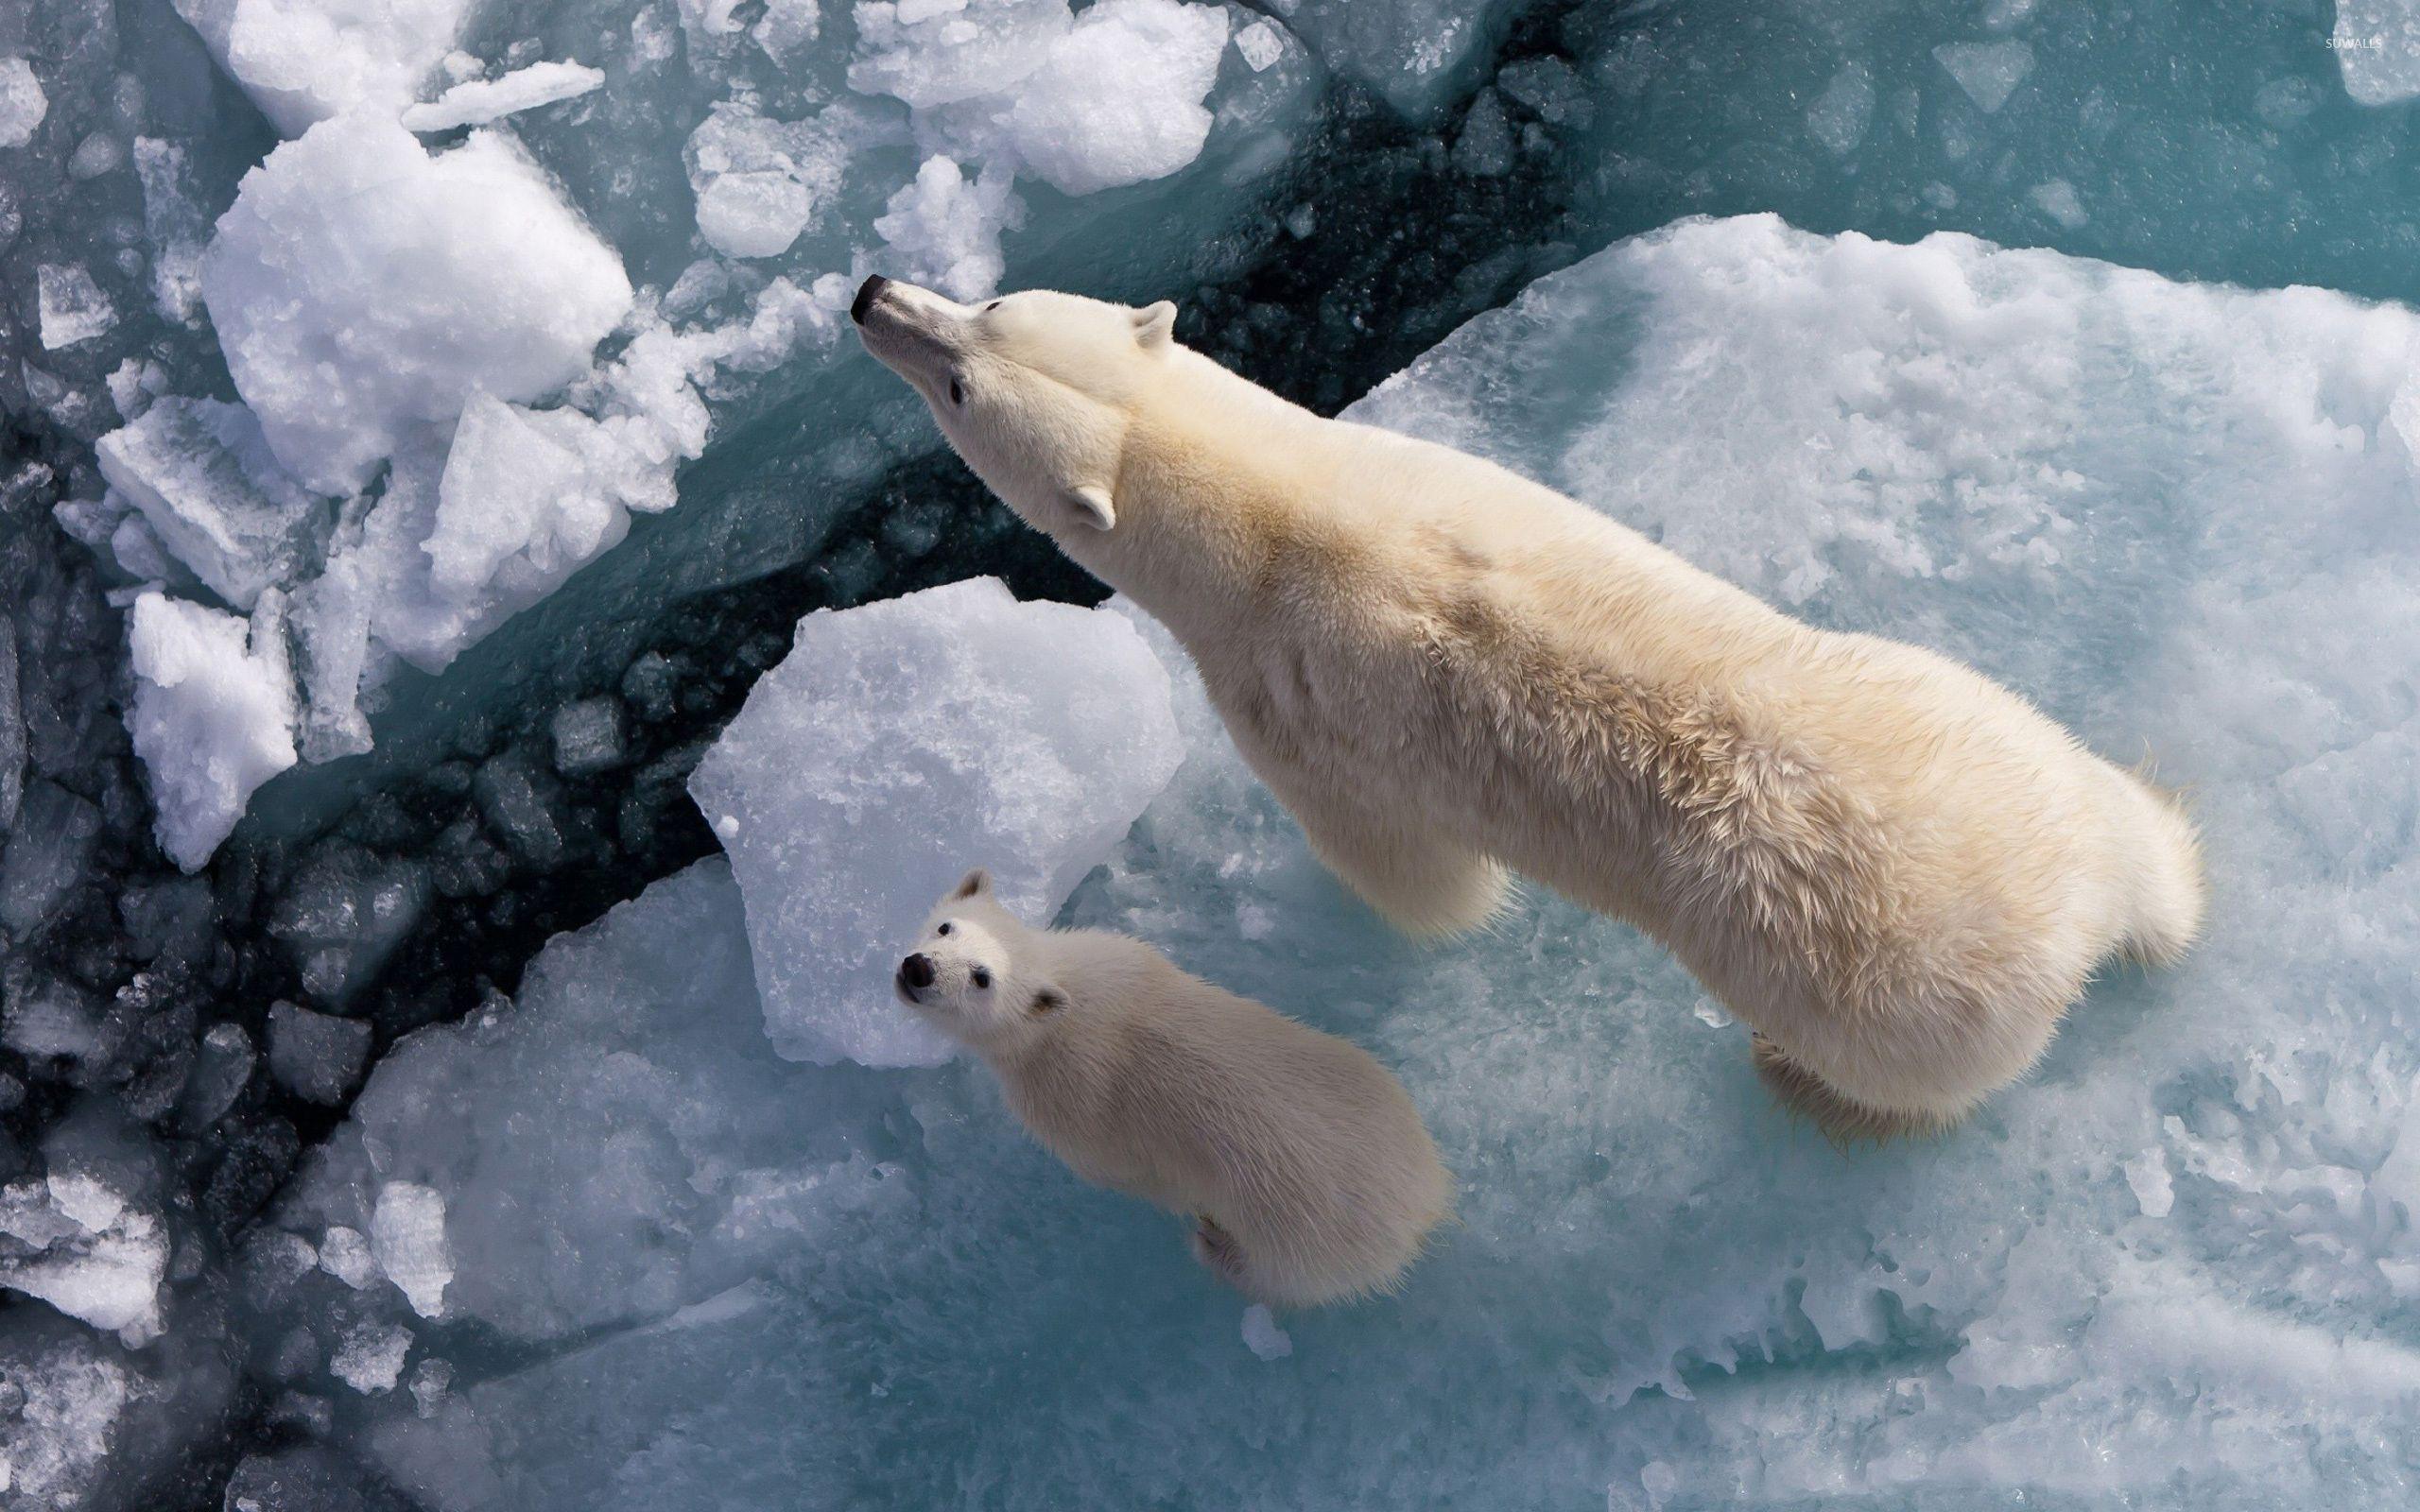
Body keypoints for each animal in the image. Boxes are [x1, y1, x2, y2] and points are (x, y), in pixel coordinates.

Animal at [853, 275, 2205, 1141]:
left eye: (963, 375)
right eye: (992, 310)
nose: (871, 293)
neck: (1276, 516)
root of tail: (2071, 914)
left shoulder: (1288, 705)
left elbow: (1408, 874)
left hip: (1882, 991)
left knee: (1902, 1077)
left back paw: (1796, 1081)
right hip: (1984, 723)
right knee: (2130, 822)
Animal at [895, 869, 1453, 1309]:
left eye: (982, 977)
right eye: (947, 926)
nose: (918, 968)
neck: (1070, 1001)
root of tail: (1423, 1204)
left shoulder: (1070, 1106)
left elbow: (1125, 1173)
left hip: (1300, 1237)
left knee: (1279, 1278)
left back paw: (1213, 1245)